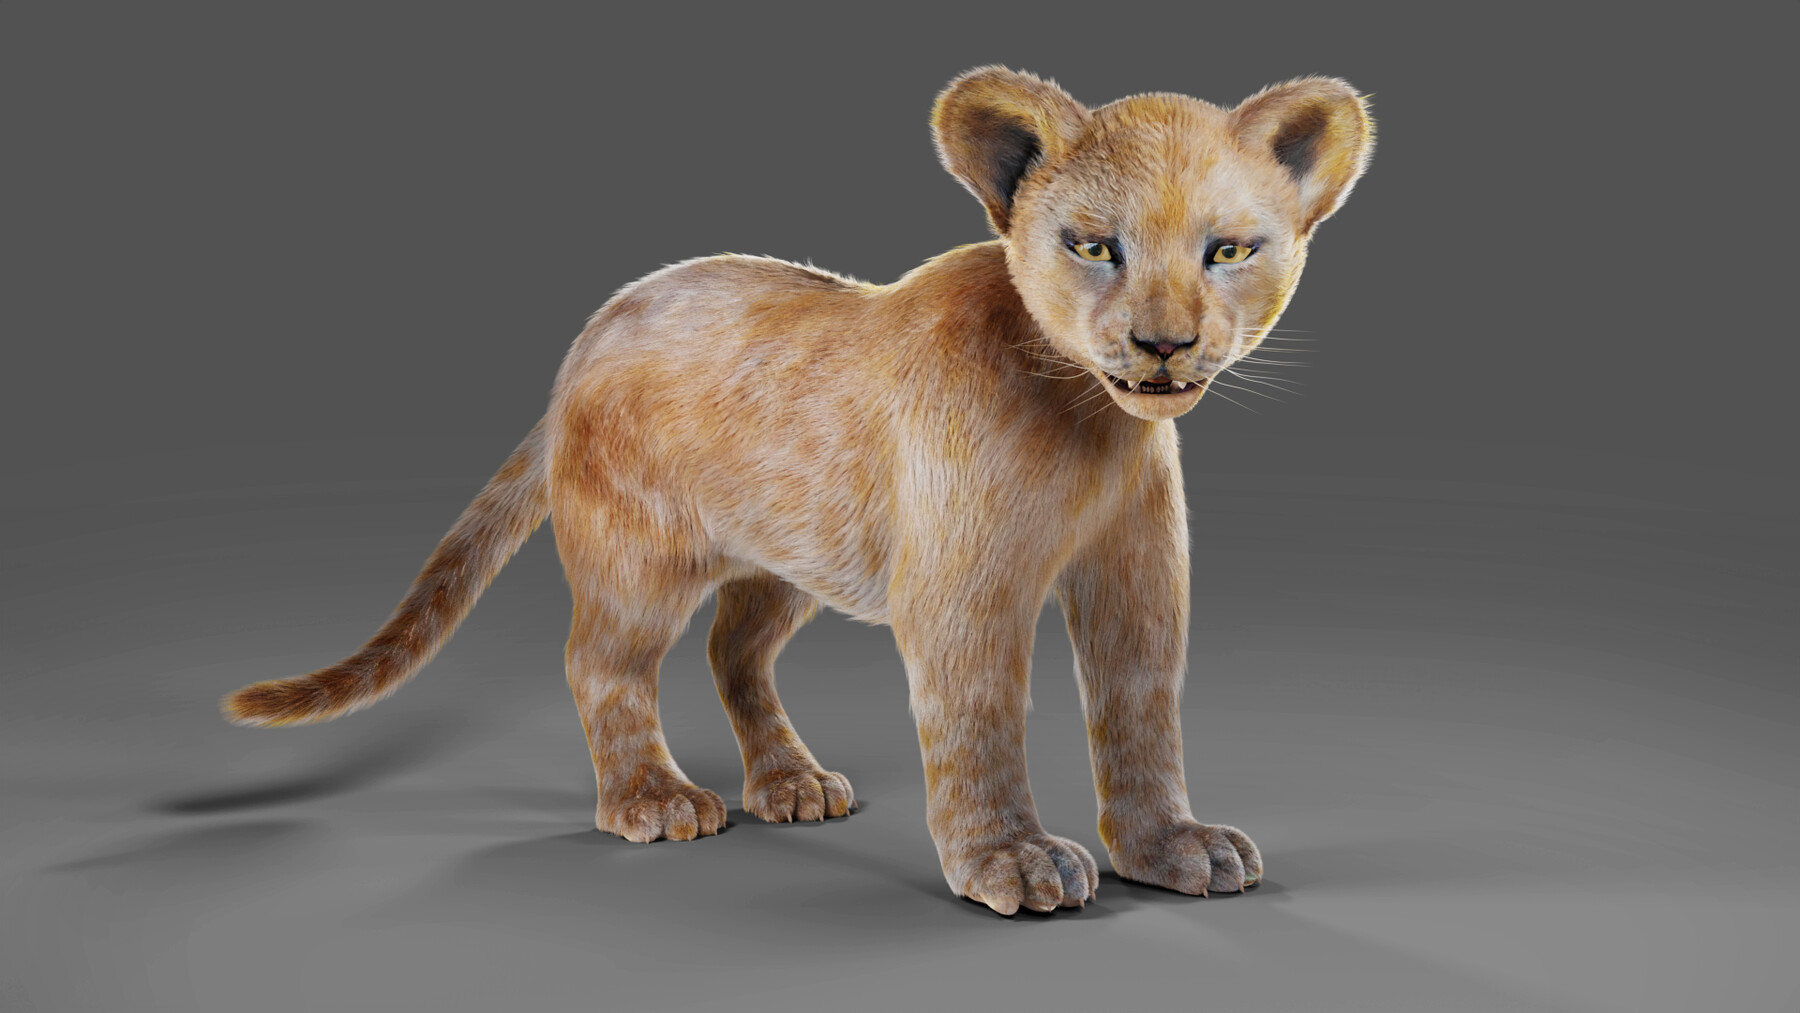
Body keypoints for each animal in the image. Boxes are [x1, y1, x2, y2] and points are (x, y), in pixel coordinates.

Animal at [221, 66, 1373, 915]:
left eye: (1228, 250)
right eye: (1093, 246)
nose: (1163, 345)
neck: (1090, 419)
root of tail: (592, 331)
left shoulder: (1135, 577)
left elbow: (1141, 705)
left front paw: (1170, 844)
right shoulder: (962, 588)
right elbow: (979, 714)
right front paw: (1010, 859)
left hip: (788, 552)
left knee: (734, 651)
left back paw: (792, 783)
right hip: (639, 557)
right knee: (602, 663)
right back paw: (654, 797)